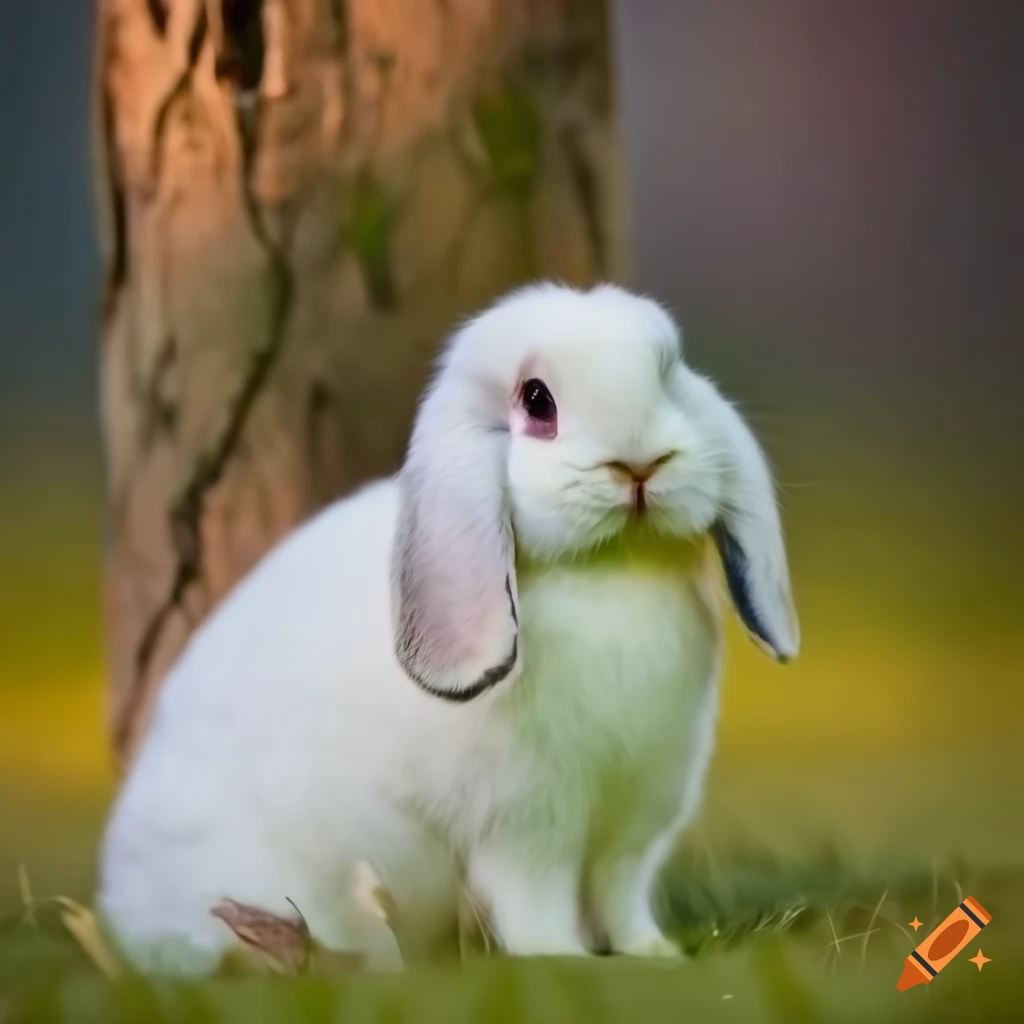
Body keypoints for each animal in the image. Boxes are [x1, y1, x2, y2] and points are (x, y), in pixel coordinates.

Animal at [96, 282, 799, 975]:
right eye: (536, 401)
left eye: (669, 373)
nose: (640, 464)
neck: (614, 570)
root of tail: (123, 898)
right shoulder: (527, 822)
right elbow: (536, 894)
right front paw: (560, 954)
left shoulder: (639, 814)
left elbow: (623, 892)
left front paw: (655, 952)